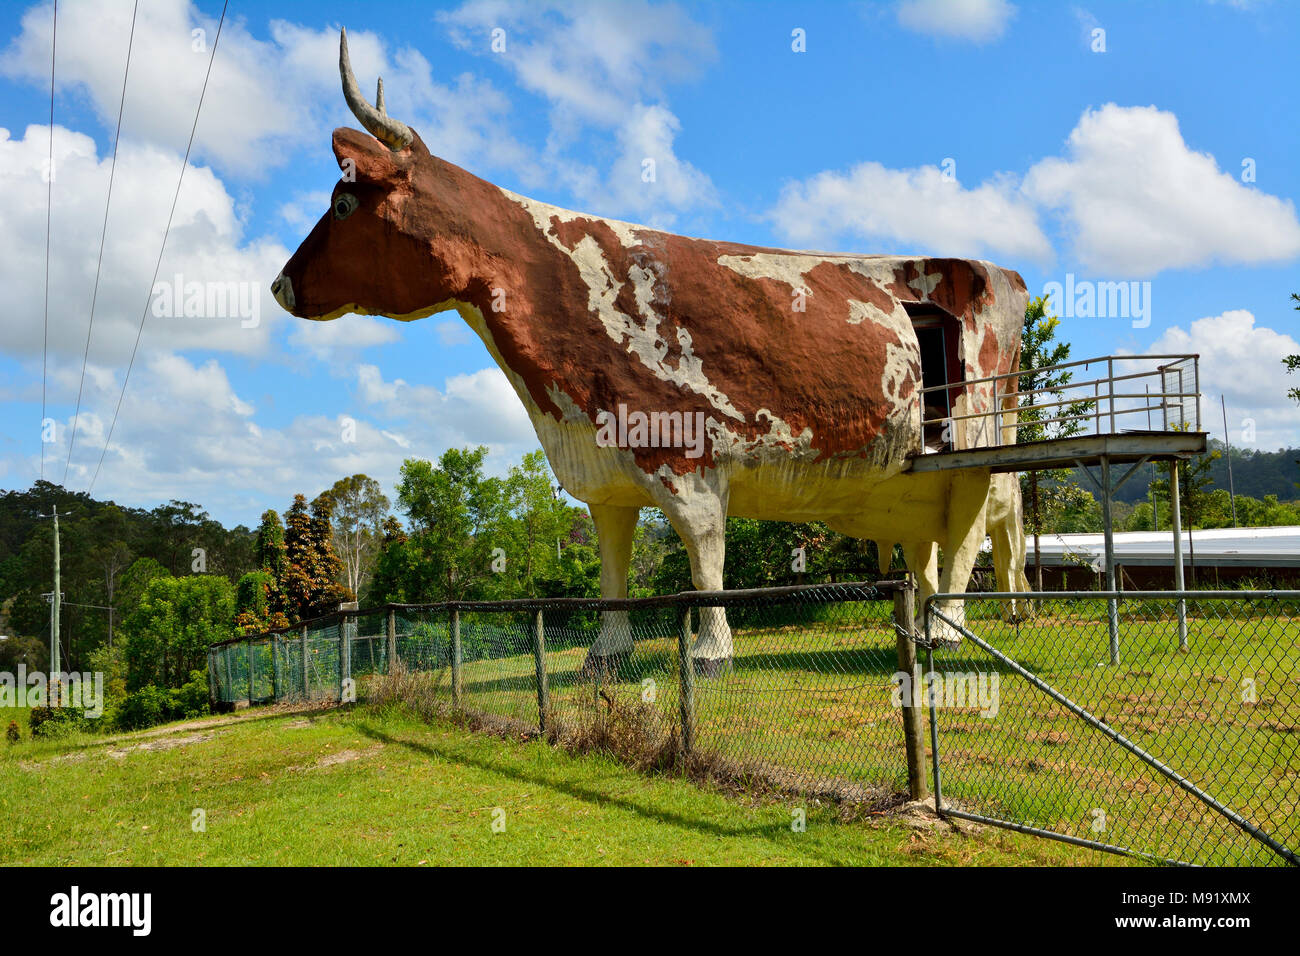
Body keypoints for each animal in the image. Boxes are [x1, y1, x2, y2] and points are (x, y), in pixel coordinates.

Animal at [273, 30, 1030, 672]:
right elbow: (613, 569)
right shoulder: (605, 478)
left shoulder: (688, 456)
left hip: (974, 448)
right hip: (918, 477)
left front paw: (711, 653)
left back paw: (945, 633)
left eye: (344, 205)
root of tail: (999, 270)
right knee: (942, 543)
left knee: (969, 536)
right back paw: (947, 618)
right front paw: (605, 654)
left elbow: (703, 559)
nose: (279, 284)